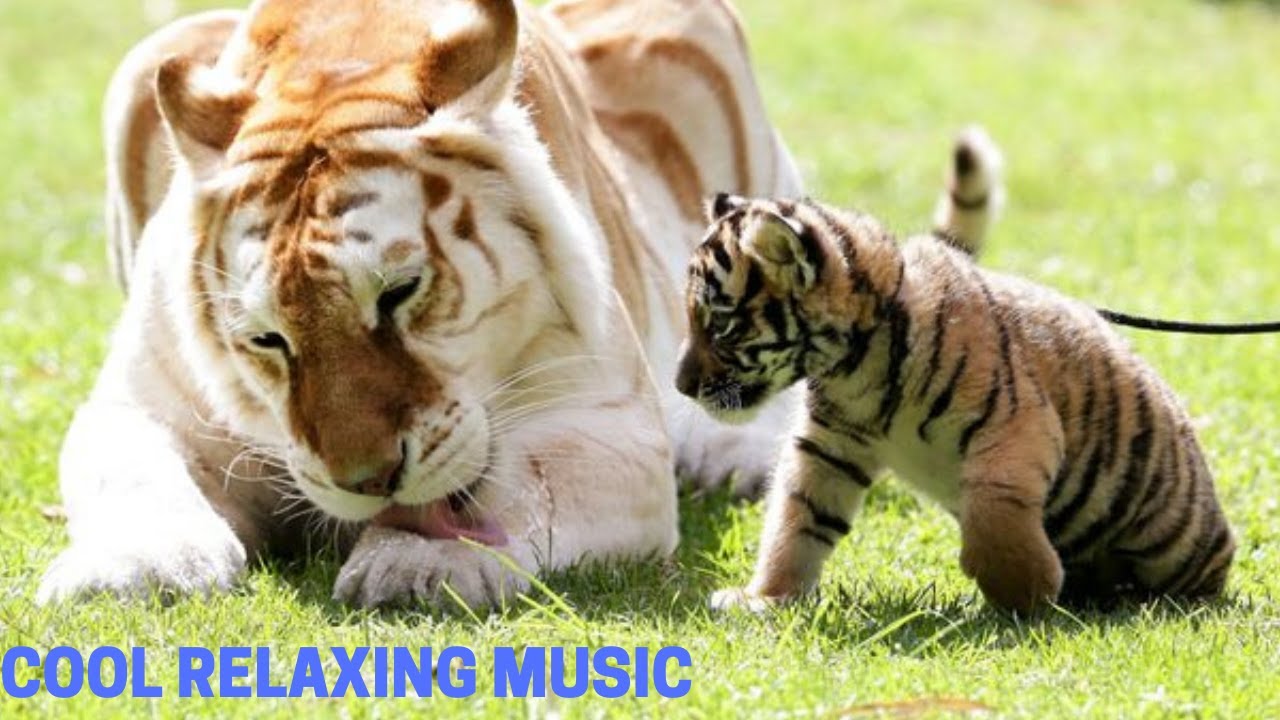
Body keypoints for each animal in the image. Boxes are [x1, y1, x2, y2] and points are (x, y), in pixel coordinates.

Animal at [37, 0, 803, 608]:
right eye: (267, 339)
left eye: (399, 292)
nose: (367, 480)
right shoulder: (139, 403)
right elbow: (134, 476)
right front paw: (129, 572)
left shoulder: (608, 425)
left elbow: (515, 486)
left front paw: (421, 565)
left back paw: (737, 456)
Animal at [677, 129, 1235, 614]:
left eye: (721, 323)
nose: (681, 387)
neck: (853, 363)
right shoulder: (828, 446)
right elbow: (795, 518)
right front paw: (767, 599)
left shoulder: (1014, 426)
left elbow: (993, 515)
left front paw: (1024, 594)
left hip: (1174, 540)